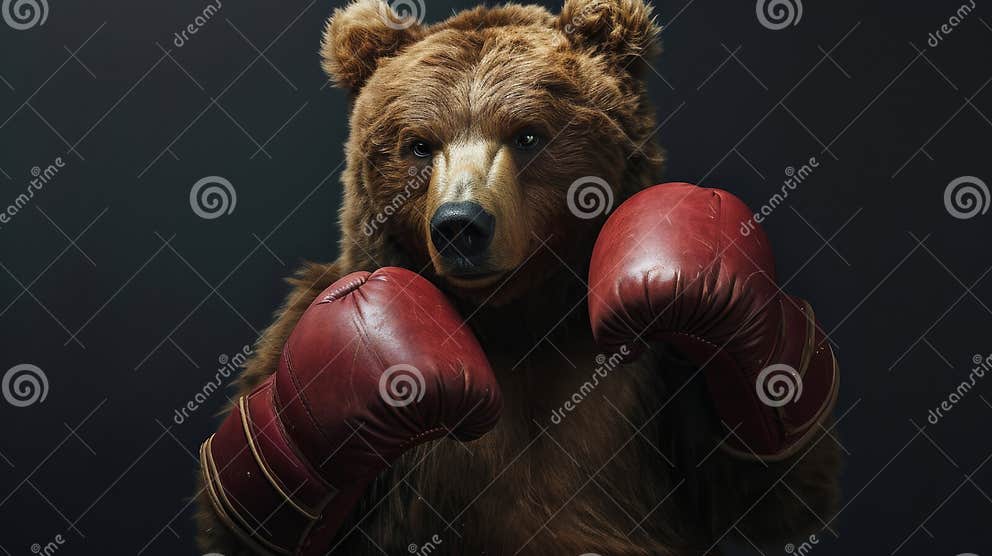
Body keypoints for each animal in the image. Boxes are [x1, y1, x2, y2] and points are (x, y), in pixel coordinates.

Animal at [195, 0, 842, 554]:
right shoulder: (302, 321)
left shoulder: (656, 375)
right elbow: (256, 513)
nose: (460, 224)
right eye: (419, 145)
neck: (518, 318)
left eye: (528, 133)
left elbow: (763, 489)